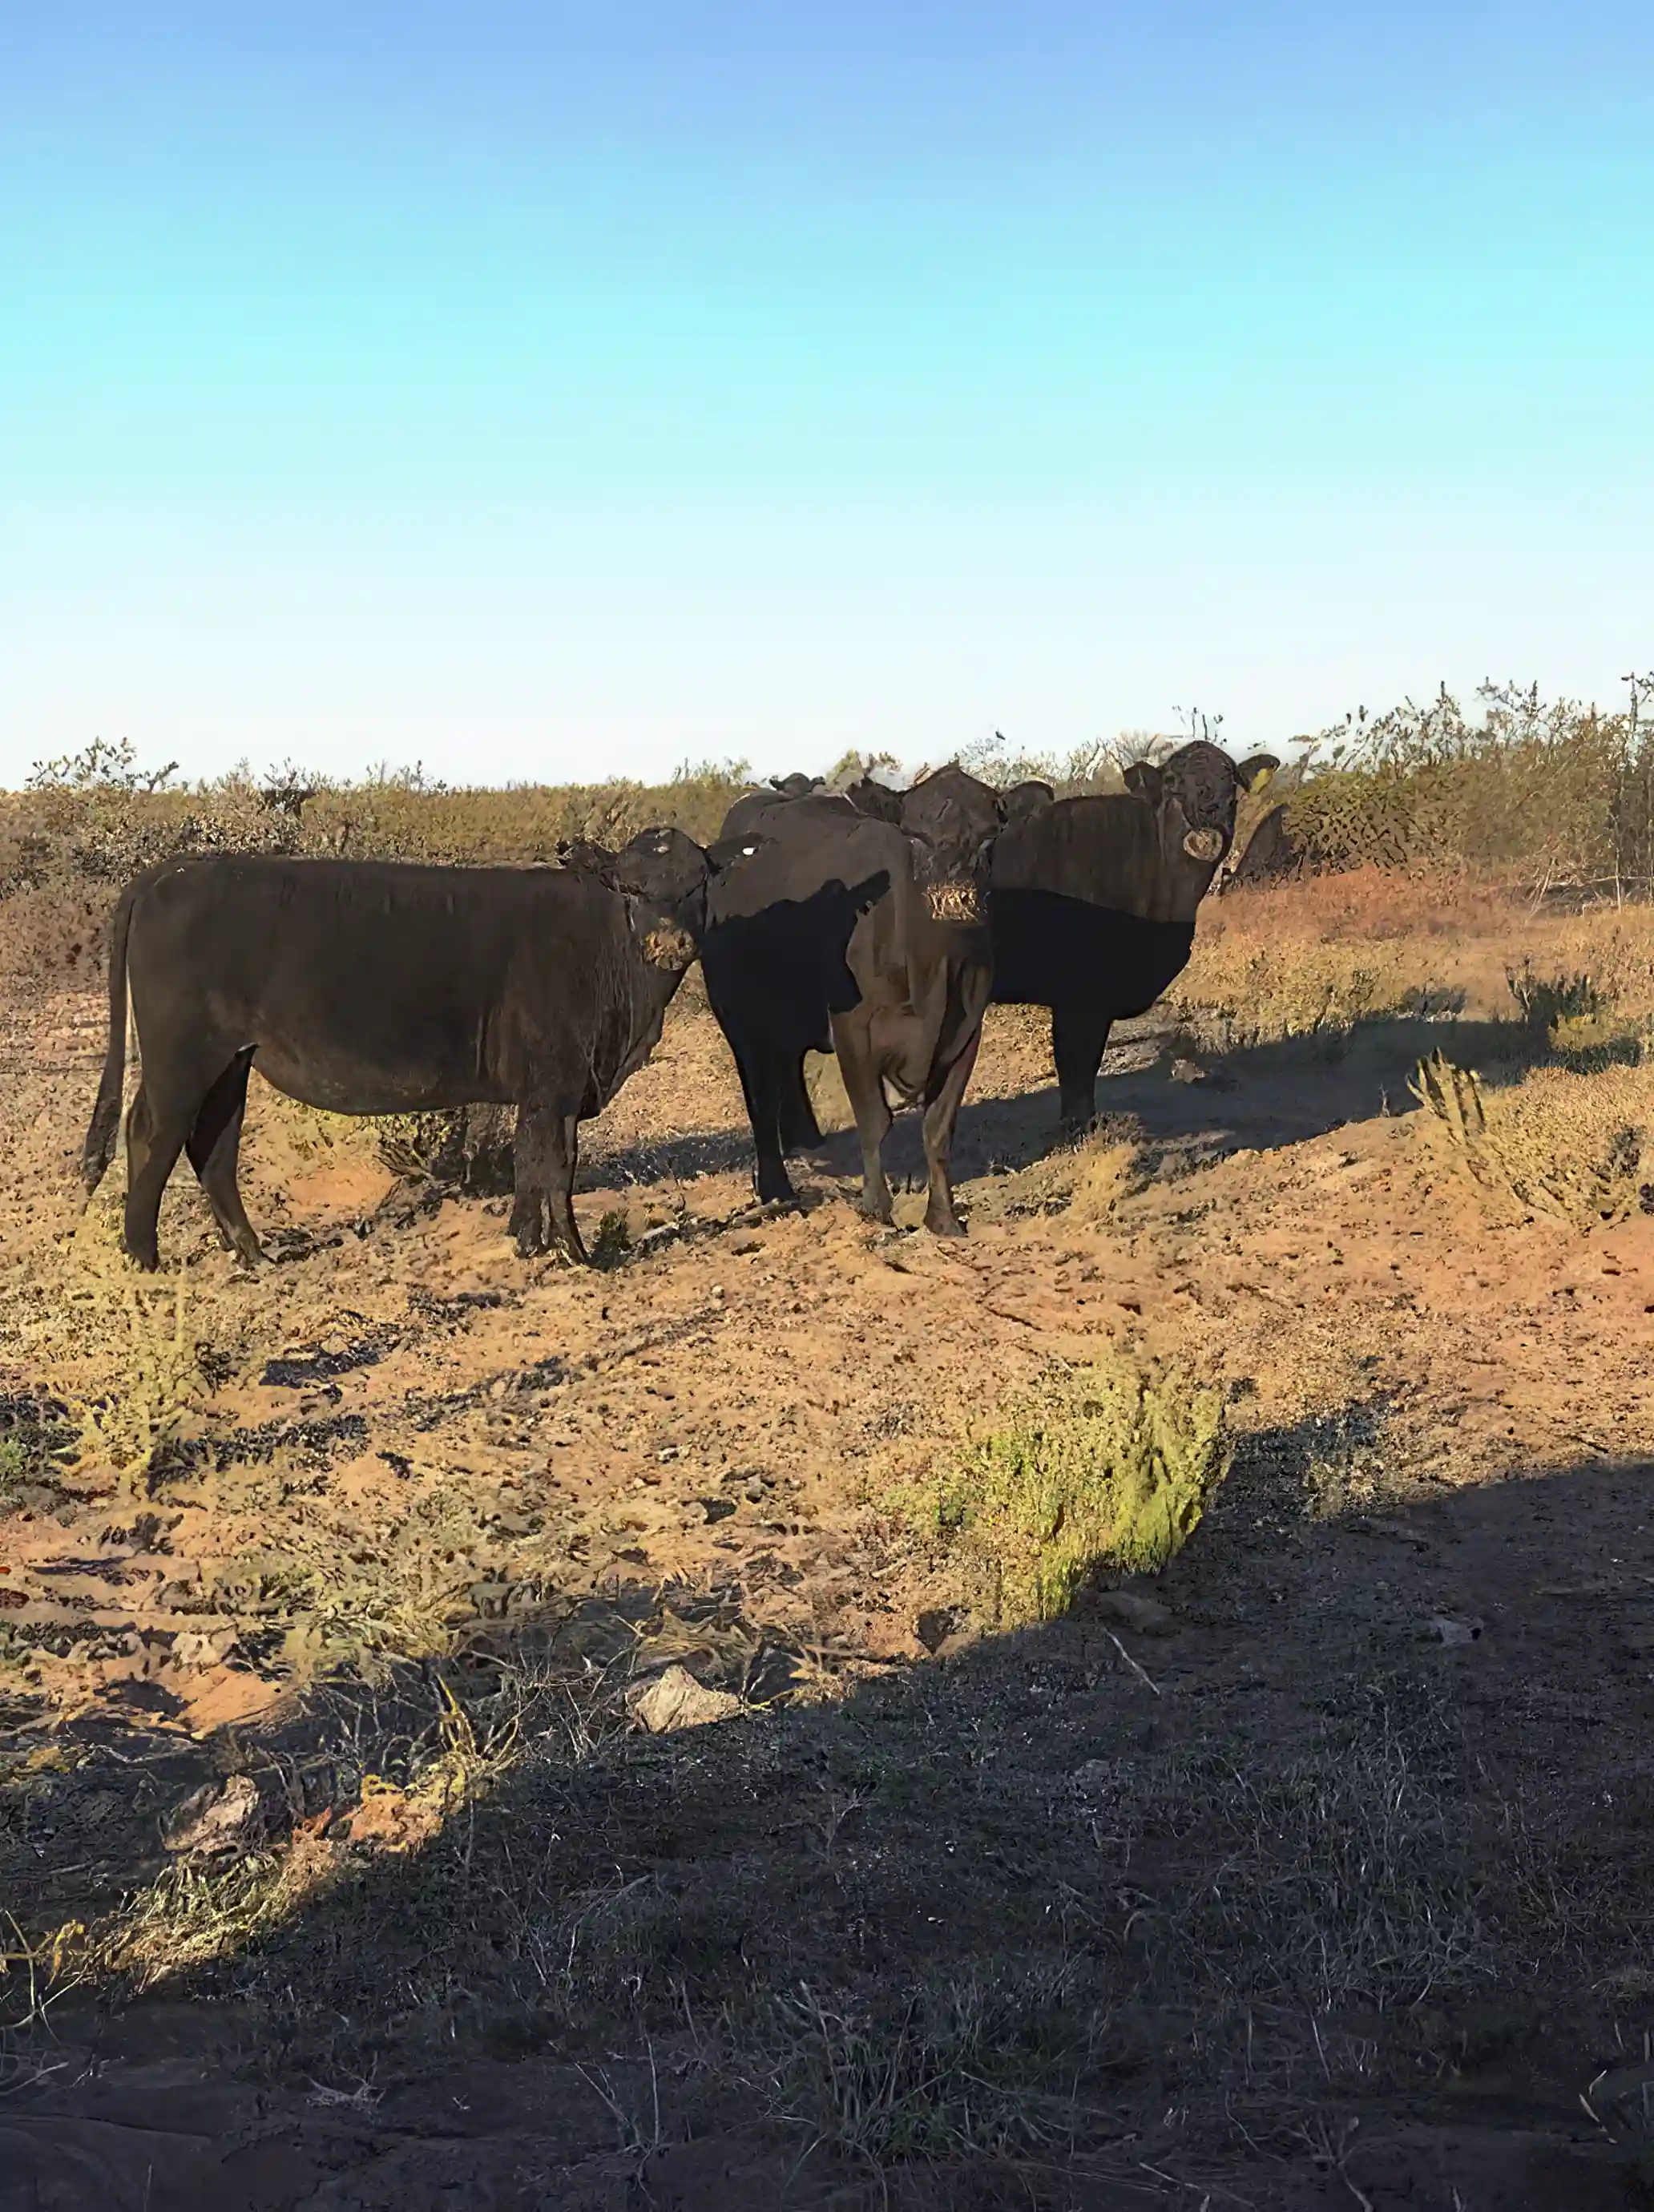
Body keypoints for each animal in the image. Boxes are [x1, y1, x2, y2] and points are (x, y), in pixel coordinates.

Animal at [82, 828, 719, 1271]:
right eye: (632, 889)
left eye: (698, 885)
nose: (669, 944)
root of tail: (175, 872)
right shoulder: (553, 1079)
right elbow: (547, 1163)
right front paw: (558, 1251)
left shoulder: (563, 1086)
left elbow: (548, 1166)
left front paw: (551, 1245)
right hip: (182, 1056)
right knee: (153, 1133)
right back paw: (143, 1258)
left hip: (231, 1060)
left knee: (212, 1144)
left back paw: (252, 1253)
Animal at [702, 769, 1004, 1235]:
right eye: (916, 839)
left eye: (988, 840)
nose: (955, 900)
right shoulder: (853, 1029)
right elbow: (874, 1119)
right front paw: (876, 1207)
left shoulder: (967, 1031)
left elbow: (939, 1127)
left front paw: (943, 1217)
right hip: (742, 1022)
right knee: (762, 1101)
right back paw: (777, 1187)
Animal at [989, 742, 1277, 1128]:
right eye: (1172, 781)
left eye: (1230, 780)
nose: (1210, 808)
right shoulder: (1080, 996)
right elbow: (1076, 1063)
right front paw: (1079, 1126)